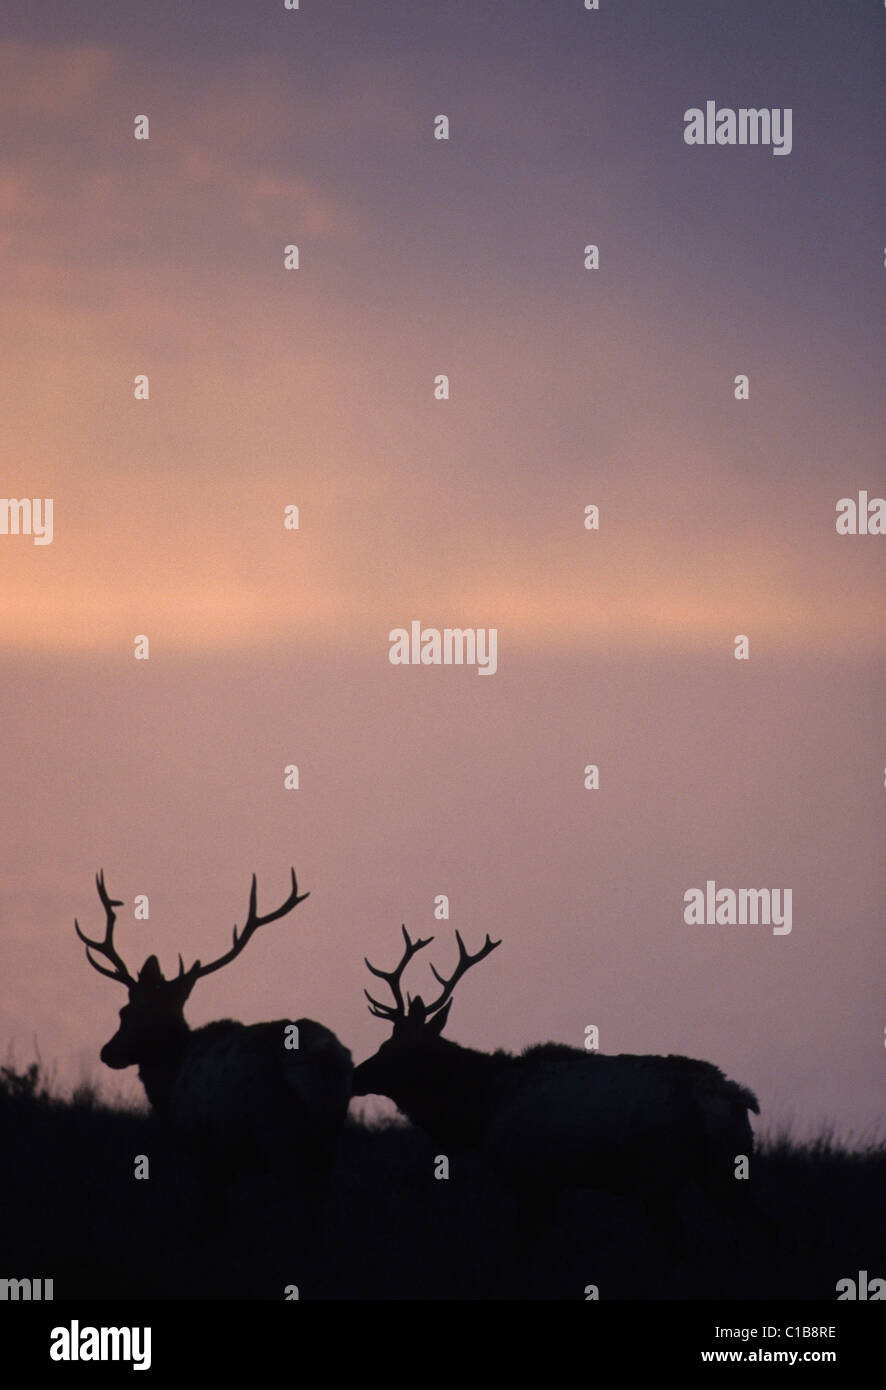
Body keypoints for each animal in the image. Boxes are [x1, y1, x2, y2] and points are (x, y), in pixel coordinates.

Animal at [75, 868, 352, 1249]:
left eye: (124, 1012)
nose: (107, 1052)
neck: (169, 1085)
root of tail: (324, 1059)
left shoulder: (203, 1149)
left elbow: (209, 1220)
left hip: (277, 1131)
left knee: (301, 1205)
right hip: (330, 1135)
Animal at [352, 927, 771, 1255]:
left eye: (391, 1048)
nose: (354, 1075)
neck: (481, 1108)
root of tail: (733, 1097)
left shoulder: (530, 1177)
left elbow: (525, 1248)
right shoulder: (549, 1183)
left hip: (660, 1175)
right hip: (726, 1167)